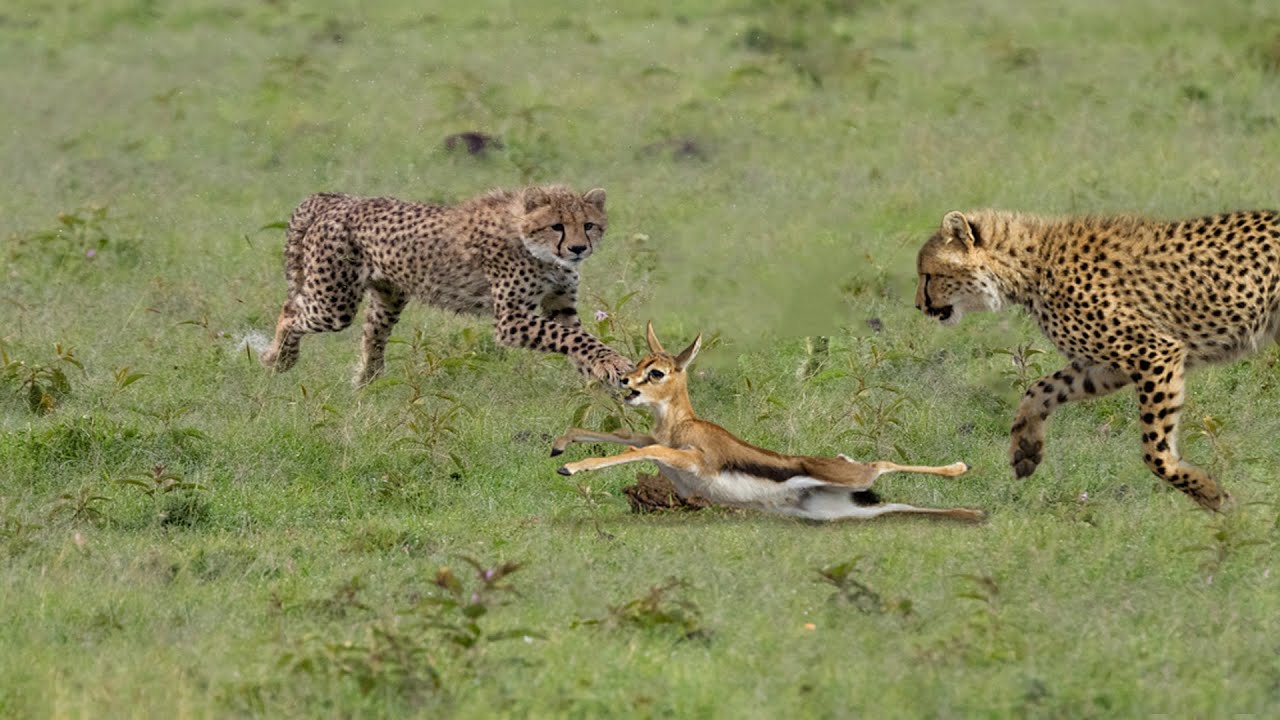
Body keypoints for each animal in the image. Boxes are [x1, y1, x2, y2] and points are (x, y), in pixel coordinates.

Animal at [260, 185, 634, 387]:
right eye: (557, 226)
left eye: (588, 225)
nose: (578, 248)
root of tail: (340, 199)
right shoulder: (511, 319)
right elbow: (575, 339)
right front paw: (613, 366)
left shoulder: (560, 305)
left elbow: (577, 338)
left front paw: (602, 382)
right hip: (334, 304)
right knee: (291, 311)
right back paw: (279, 358)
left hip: (388, 296)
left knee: (372, 336)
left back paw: (368, 381)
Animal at [551, 323, 985, 522]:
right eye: (639, 362)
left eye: (656, 372)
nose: (625, 382)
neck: (681, 425)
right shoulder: (654, 443)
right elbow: (623, 435)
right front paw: (559, 445)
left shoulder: (692, 458)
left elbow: (634, 447)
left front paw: (569, 466)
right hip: (845, 511)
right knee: (898, 504)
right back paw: (971, 513)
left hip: (858, 478)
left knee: (881, 463)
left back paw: (960, 469)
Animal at [915, 207, 1280, 511]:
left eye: (928, 275)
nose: (919, 306)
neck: (1030, 266)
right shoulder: (1105, 368)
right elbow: (1039, 389)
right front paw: (1025, 449)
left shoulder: (1156, 352)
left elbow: (1155, 452)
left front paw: (1210, 493)